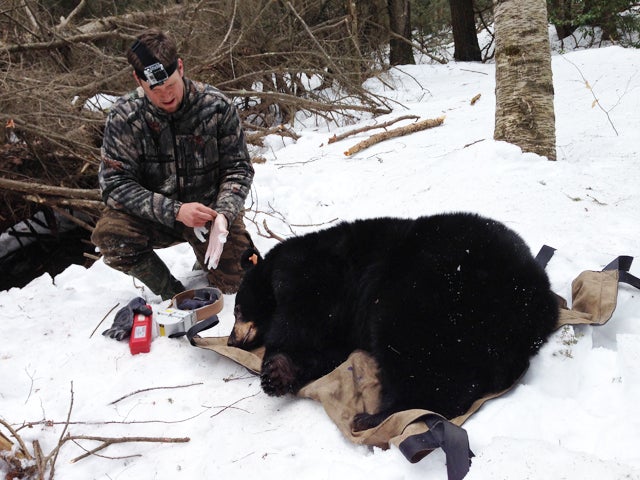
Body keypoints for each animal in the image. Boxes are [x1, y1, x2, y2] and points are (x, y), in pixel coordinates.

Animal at [228, 212, 559, 431]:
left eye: (237, 311)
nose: (231, 339)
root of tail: (535, 301)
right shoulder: (341, 323)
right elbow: (326, 348)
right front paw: (283, 371)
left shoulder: (310, 272)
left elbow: (302, 317)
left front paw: (273, 368)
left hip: (426, 297)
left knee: (420, 361)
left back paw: (374, 416)